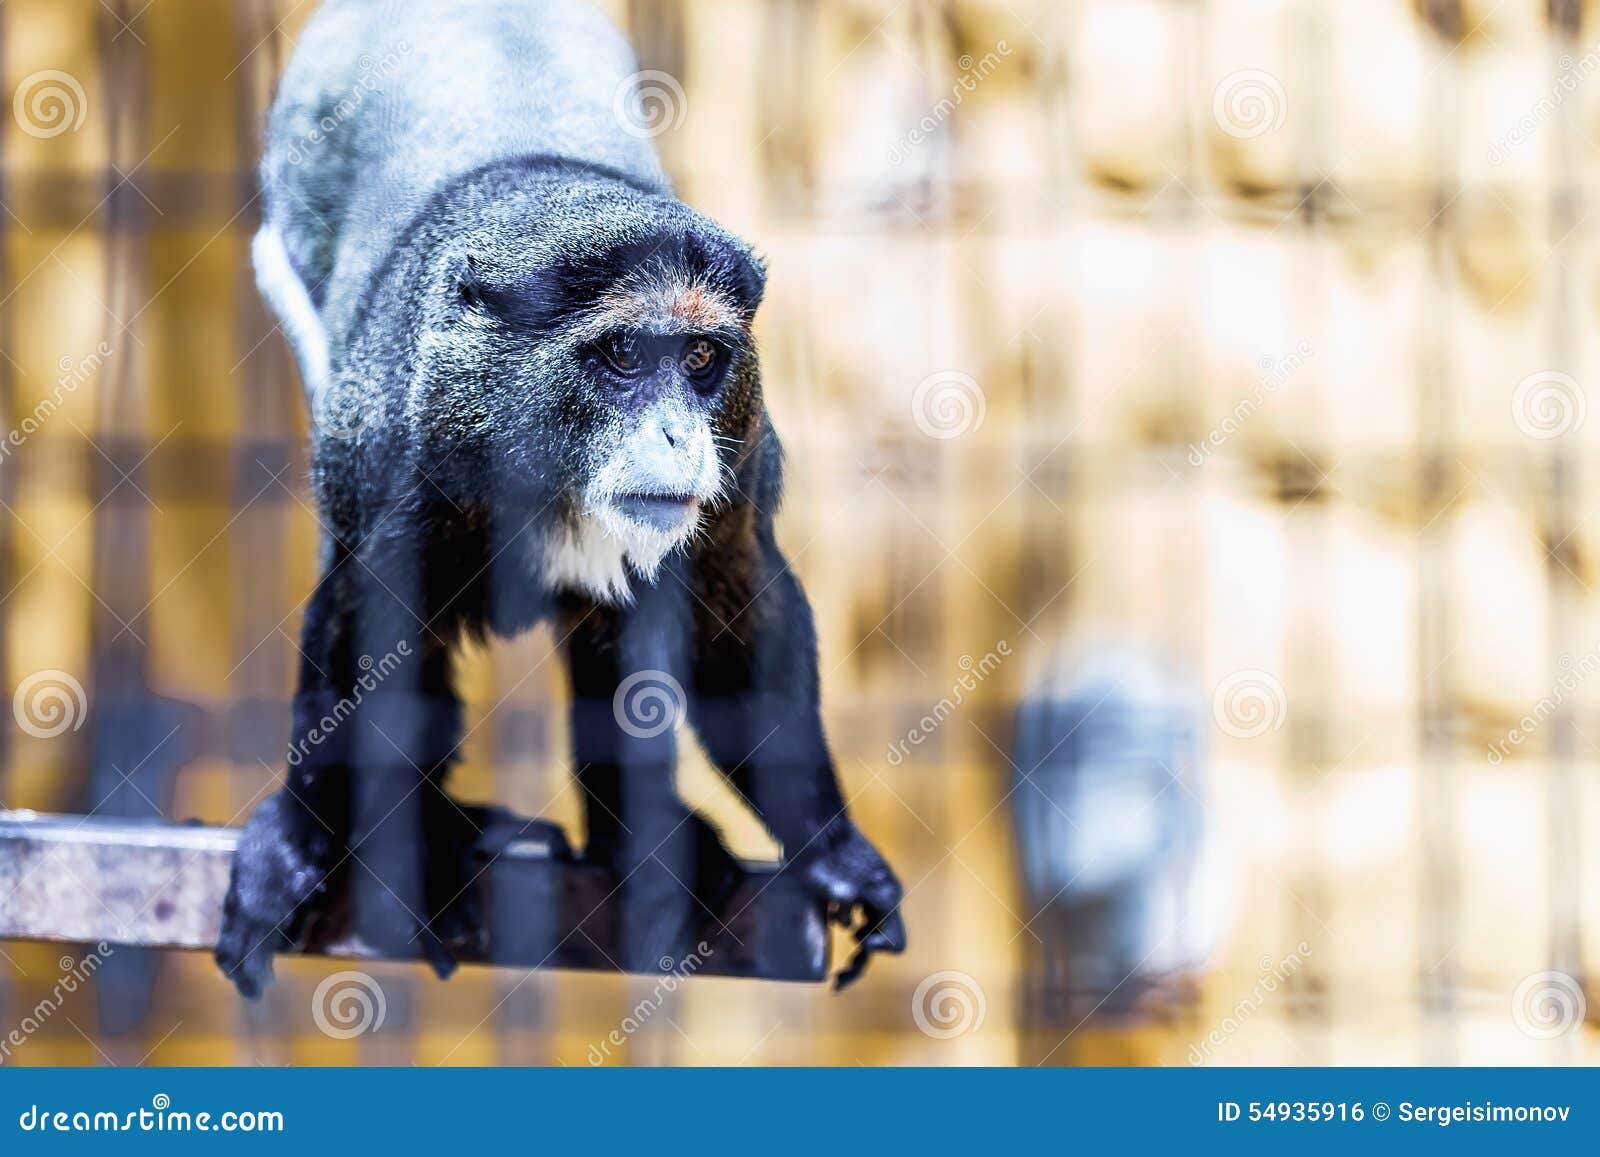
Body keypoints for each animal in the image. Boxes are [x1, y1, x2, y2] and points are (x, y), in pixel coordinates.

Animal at [215, 0, 905, 997]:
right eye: (623, 355)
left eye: (701, 358)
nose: (678, 437)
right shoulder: (397, 450)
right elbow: (364, 628)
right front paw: (298, 847)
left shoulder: (742, 464)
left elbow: (736, 620)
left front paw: (835, 849)